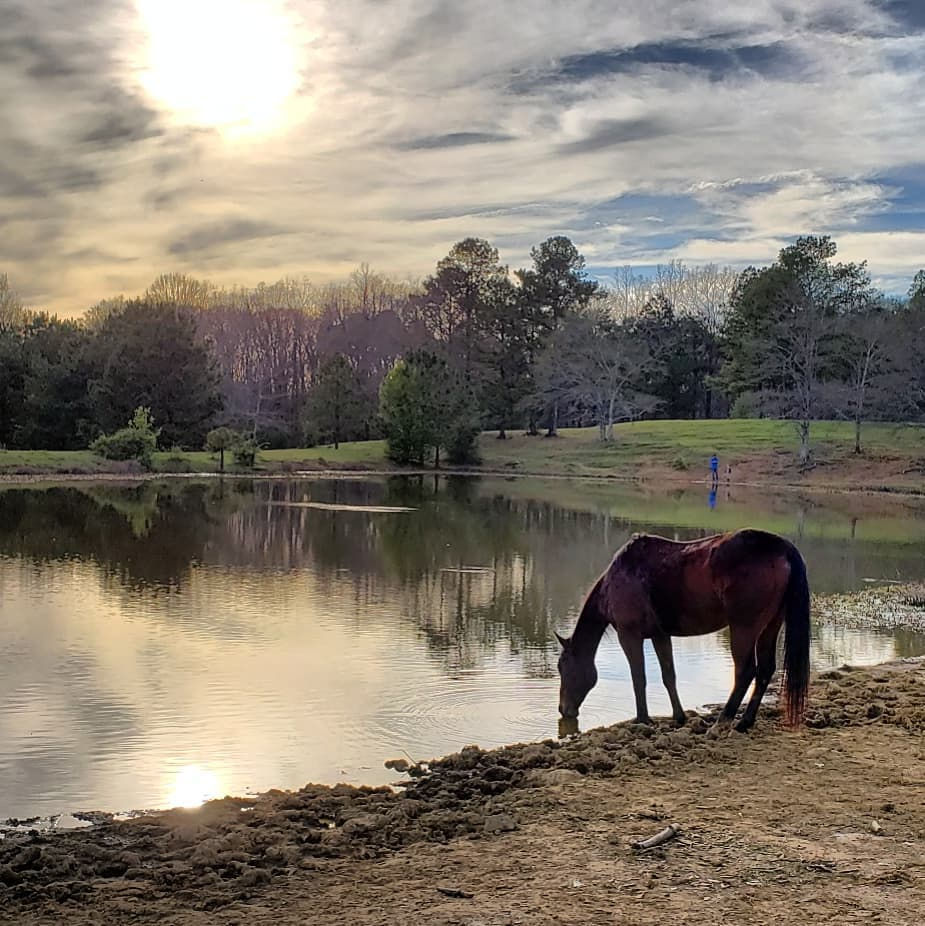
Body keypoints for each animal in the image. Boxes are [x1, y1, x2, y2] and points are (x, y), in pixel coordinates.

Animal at [555, 528, 811, 733]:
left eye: (562, 667)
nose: (562, 709)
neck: (616, 581)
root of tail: (782, 547)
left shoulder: (629, 635)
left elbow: (639, 678)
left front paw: (642, 720)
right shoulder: (659, 635)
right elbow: (669, 676)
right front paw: (679, 717)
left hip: (744, 629)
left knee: (745, 672)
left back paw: (722, 722)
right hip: (770, 626)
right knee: (765, 670)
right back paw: (744, 723)